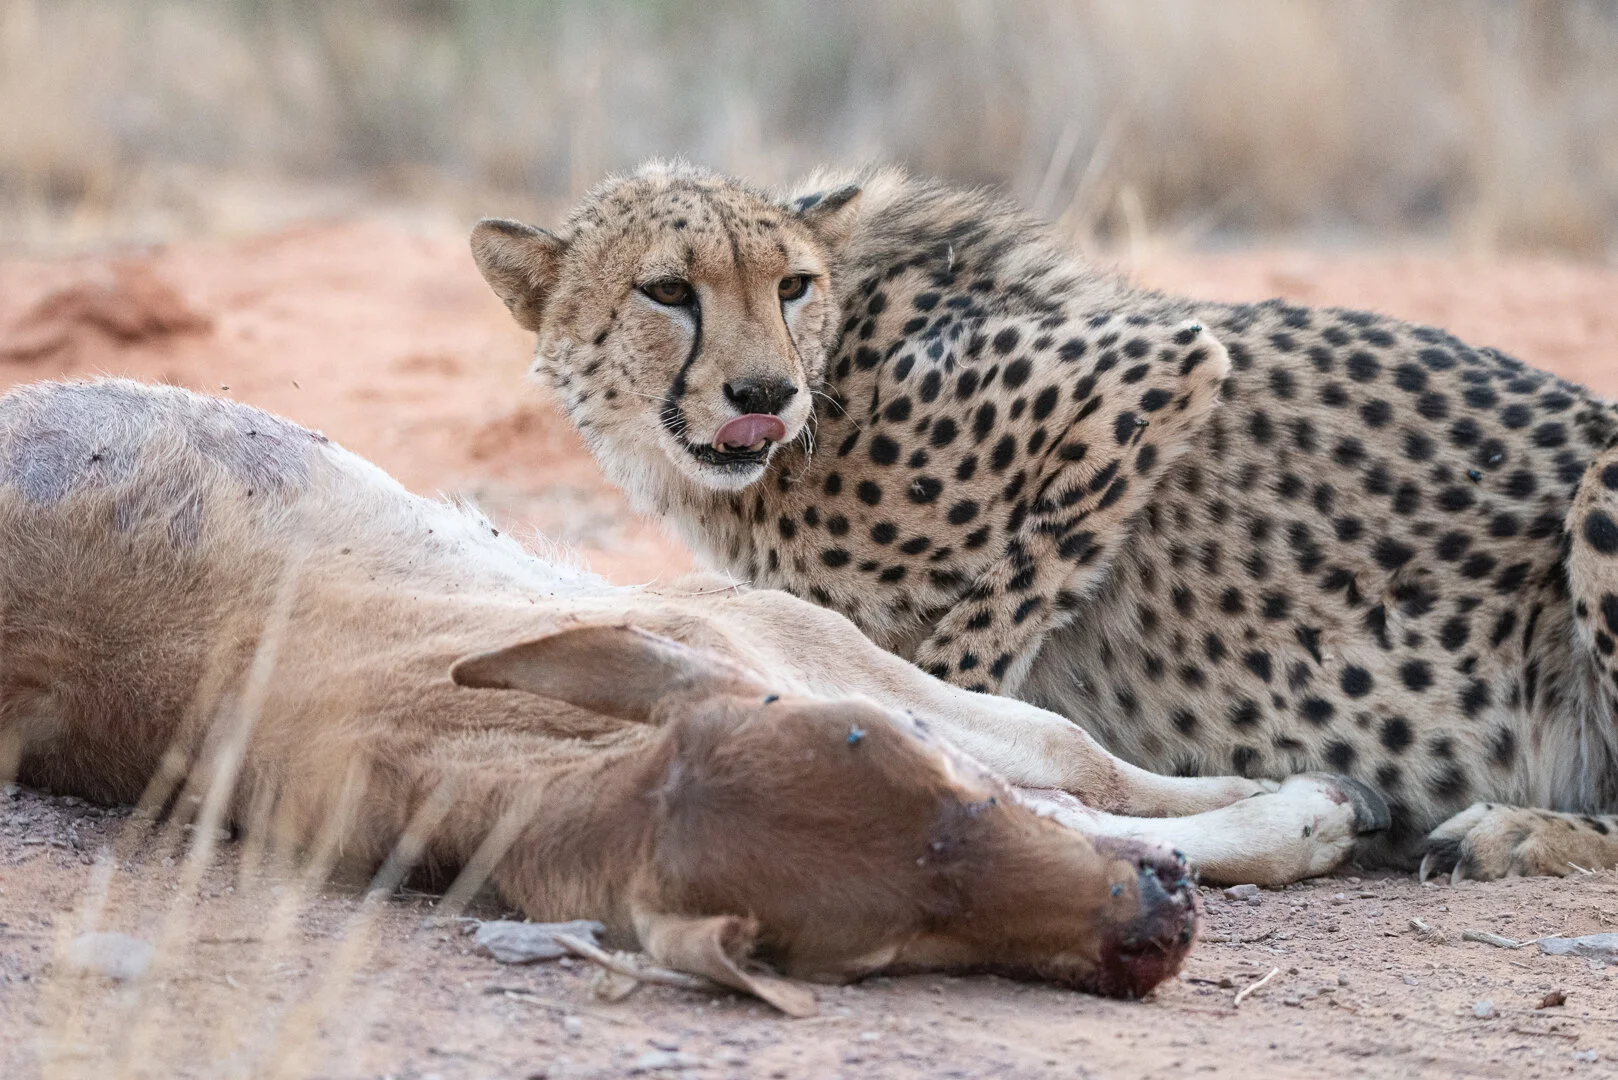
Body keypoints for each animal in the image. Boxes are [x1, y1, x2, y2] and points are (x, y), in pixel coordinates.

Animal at [471, 161, 1618, 882]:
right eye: (667, 291)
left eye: (792, 284)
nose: (763, 394)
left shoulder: (1150, 369)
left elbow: (973, 642)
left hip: (1601, 486)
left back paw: (1509, 834)